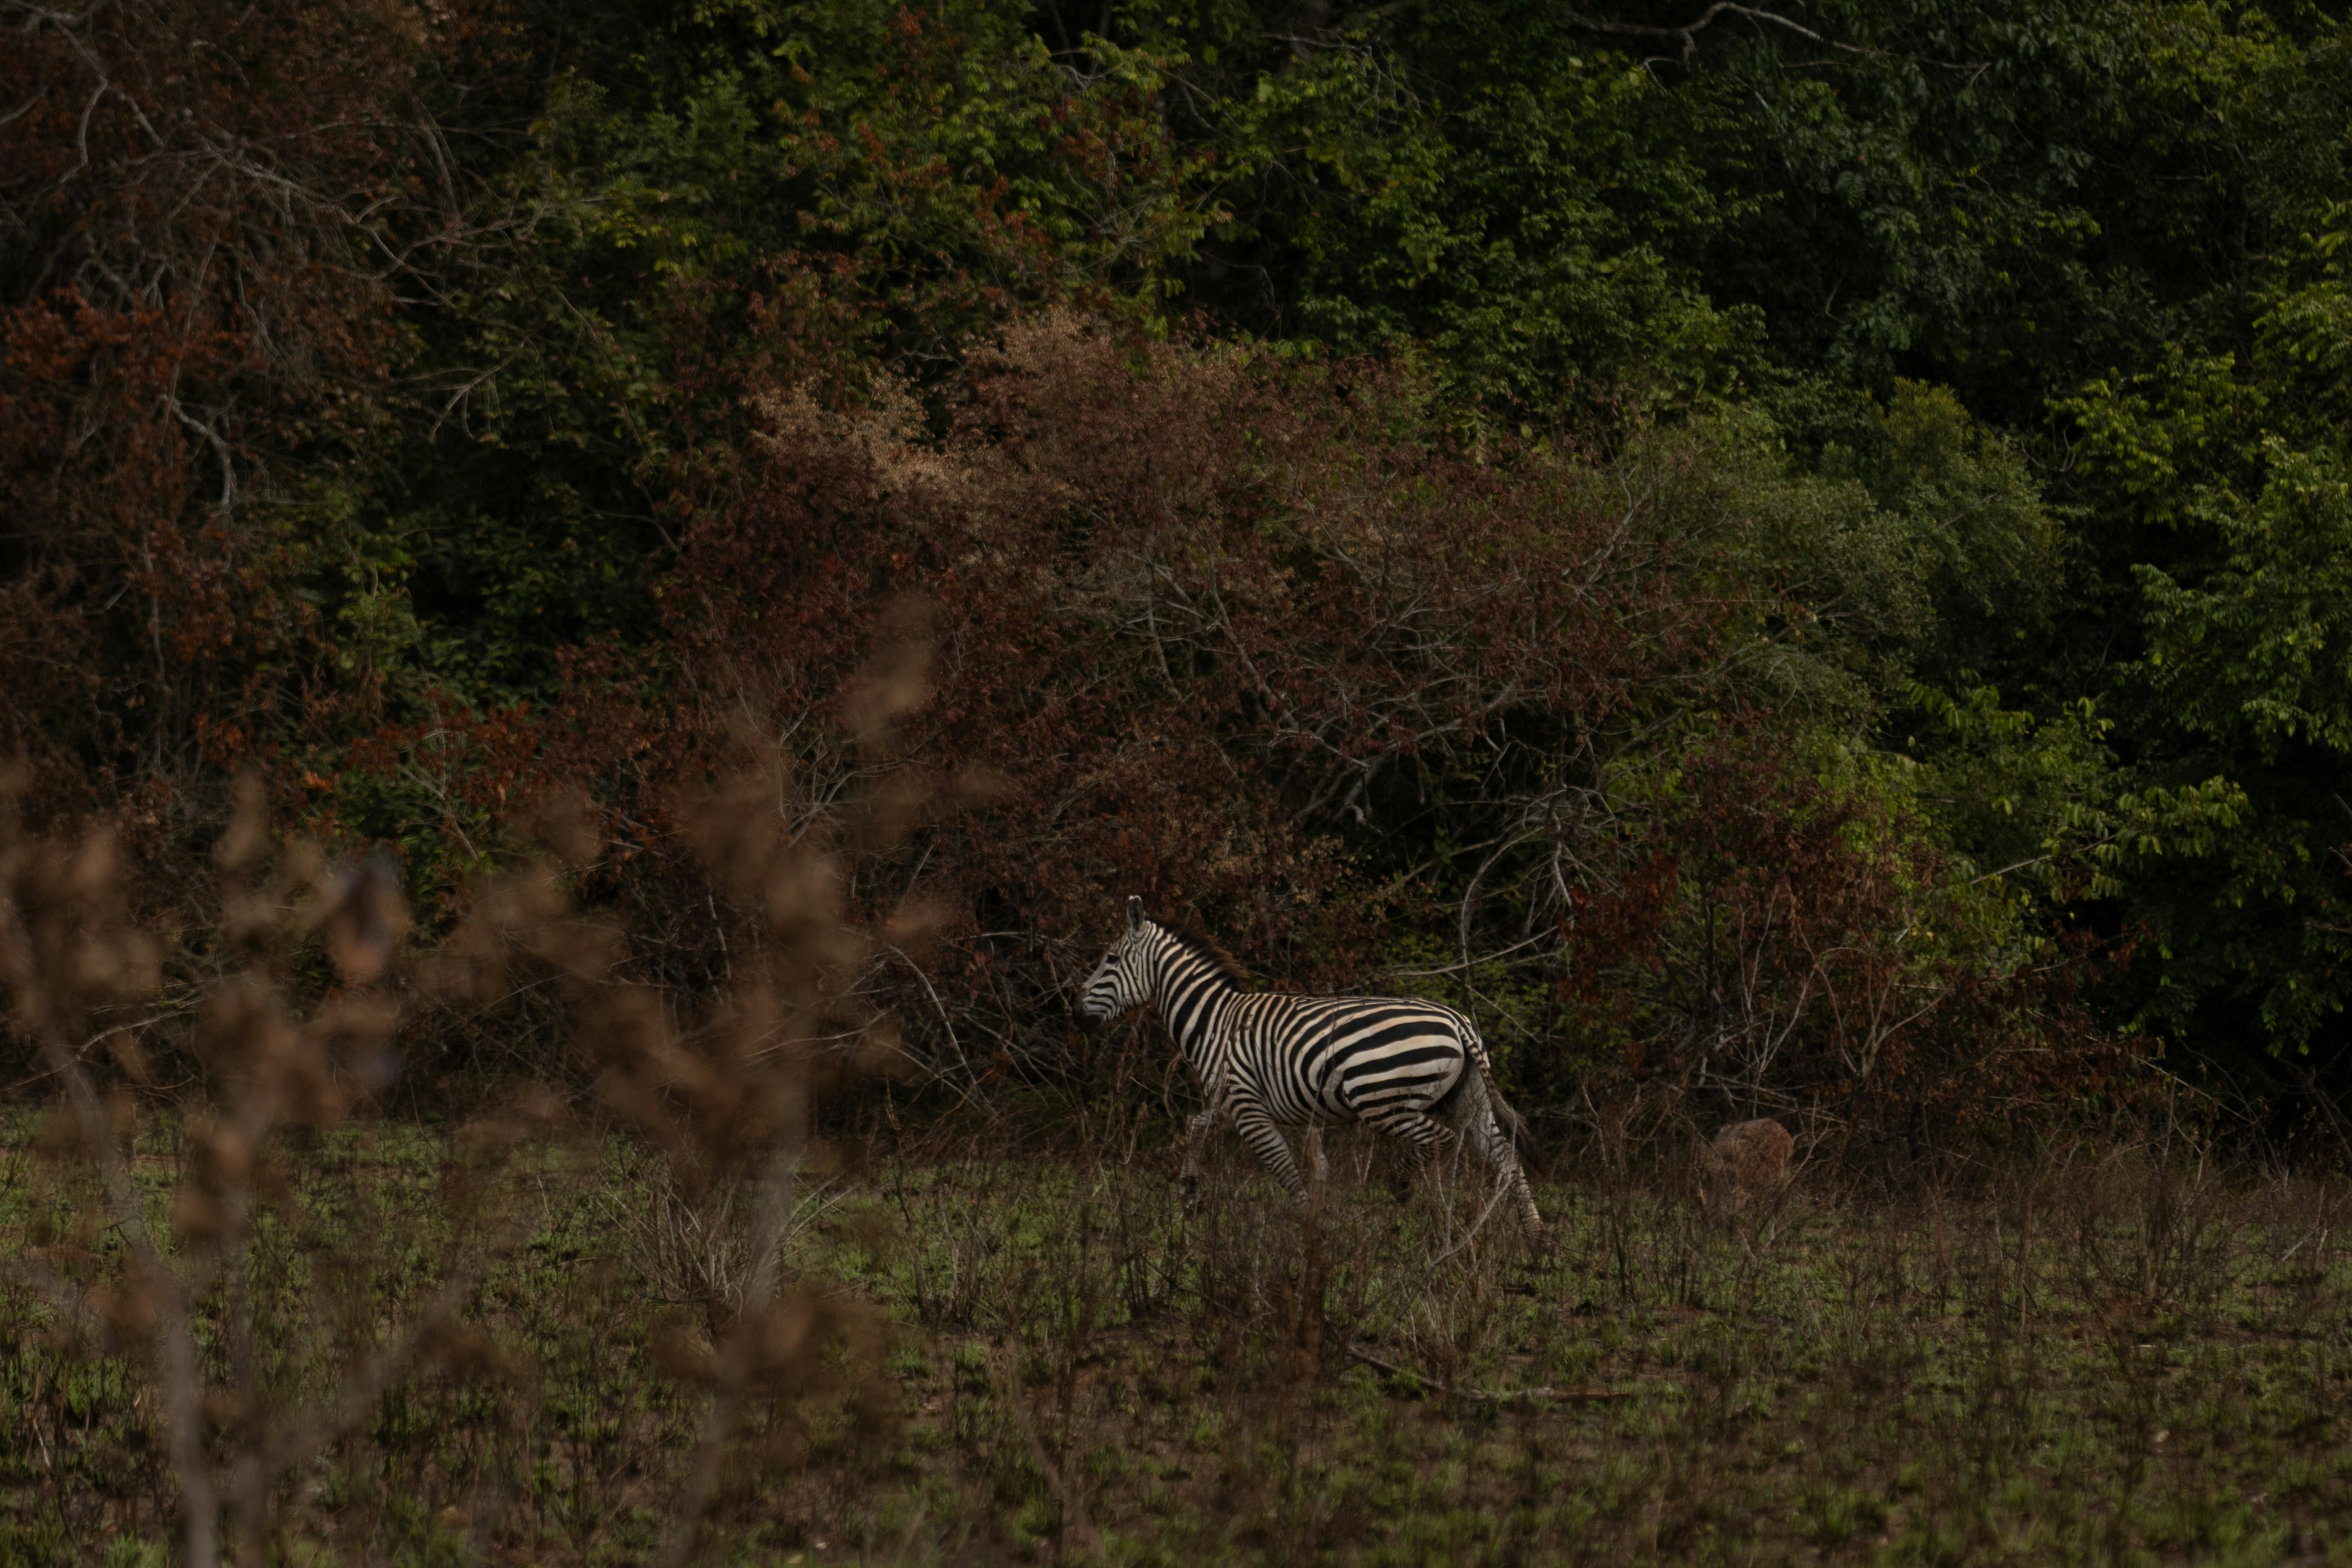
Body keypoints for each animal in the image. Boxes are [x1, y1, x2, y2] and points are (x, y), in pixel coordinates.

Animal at [1074, 897, 1544, 1242]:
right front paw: (1189, 1196)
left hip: (1384, 1101)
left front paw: (1315, 1237)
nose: (1075, 1011)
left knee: (1441, 1141)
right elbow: (1196, 1128)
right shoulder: (1230, 1104)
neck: (1216, 1023)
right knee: (1506, 1159)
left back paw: (1401, 1184)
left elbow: (1283, 1169)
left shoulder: (1249, 1109)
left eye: (1110, 960)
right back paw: (1536, 1241)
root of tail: (1459, 1022)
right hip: (1466, 1097)